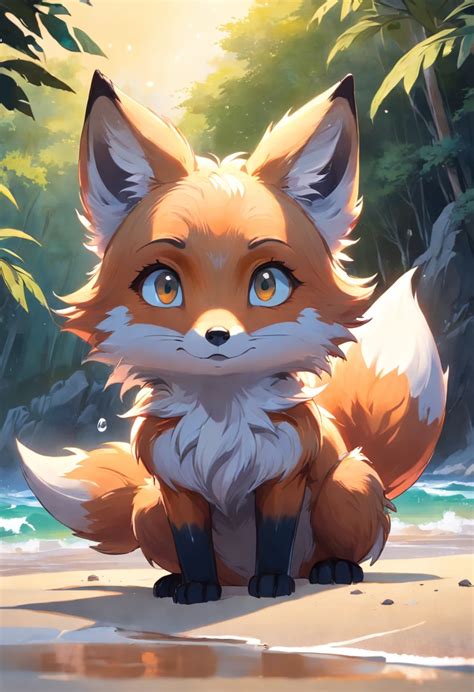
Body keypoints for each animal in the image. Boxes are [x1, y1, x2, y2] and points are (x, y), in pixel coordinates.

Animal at [18, 71, 447, 604]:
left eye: (267, 284)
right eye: (164, 286)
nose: (217, 335)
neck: (221, 424)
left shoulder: (284, 475)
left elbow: (275, 539)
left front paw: (272, 583)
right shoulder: (176, 488)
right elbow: (192, 545)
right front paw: (197, 587)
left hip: (346, 484)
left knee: (334, 549)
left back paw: (331, 569)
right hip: (147, 505)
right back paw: (179, 581)